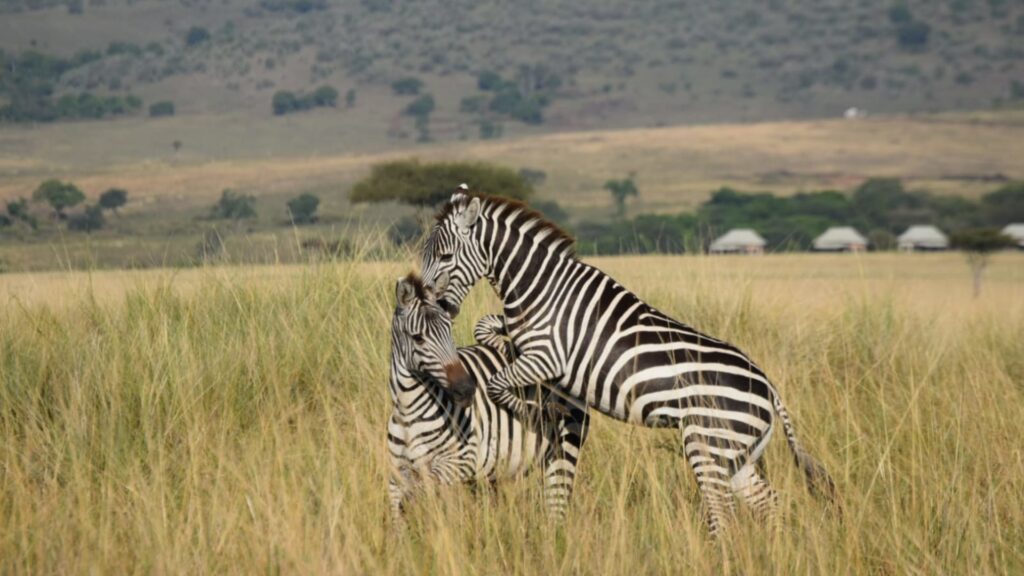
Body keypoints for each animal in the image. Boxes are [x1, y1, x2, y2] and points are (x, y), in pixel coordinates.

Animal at [387, 274, 589, 523]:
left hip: (563, 448)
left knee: (557, 504)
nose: (466, 389)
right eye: (417, 338)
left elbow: (420, 489)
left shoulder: (463, 458)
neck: (408, 408)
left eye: (450, 331)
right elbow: (398, 514)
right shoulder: (397, 471)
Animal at [418, 191, 836, 535]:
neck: (541, 288)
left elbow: (497, 383)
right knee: (769, 504)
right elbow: (485, 327)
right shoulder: (525, 341)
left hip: (708, 445)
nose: (433, 305)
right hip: (737, 456)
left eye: (444, 257)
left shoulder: (547, 357)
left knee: (723, 513)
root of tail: (770, 389)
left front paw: (540, 412)